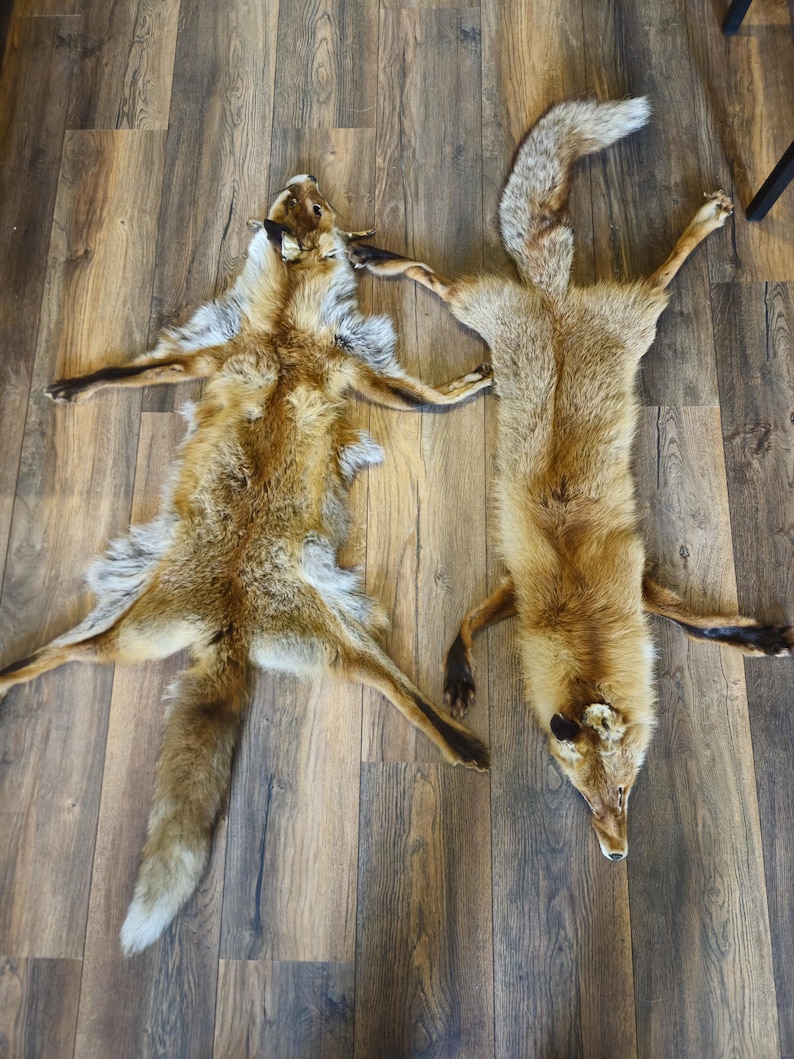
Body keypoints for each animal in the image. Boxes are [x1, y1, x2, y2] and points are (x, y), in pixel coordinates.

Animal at [0, 174, 493, 954]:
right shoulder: (225, 356)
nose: (299, 179)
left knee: (398, 690)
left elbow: (433, 400)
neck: (286, 331)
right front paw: (79, 386)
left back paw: (457, 739)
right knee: (57, 657)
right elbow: (127, 372)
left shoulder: (347, 369)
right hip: (132, 633)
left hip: (319, 642)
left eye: (312, 208)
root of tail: (229, 621)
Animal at [348, 98, 794, 861]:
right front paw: (457, 671)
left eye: (623, 791)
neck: (580, 612)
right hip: (491, 311)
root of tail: (552, 303)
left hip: (627, 321)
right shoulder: (521, 588)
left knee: (655, 275)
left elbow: (699, 622)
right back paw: (375, 258)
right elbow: (466, 620)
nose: (616, 854)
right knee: (433, 274)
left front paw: (758, 638)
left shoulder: (632, 578)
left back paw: (704, 221)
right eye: (586, 798)